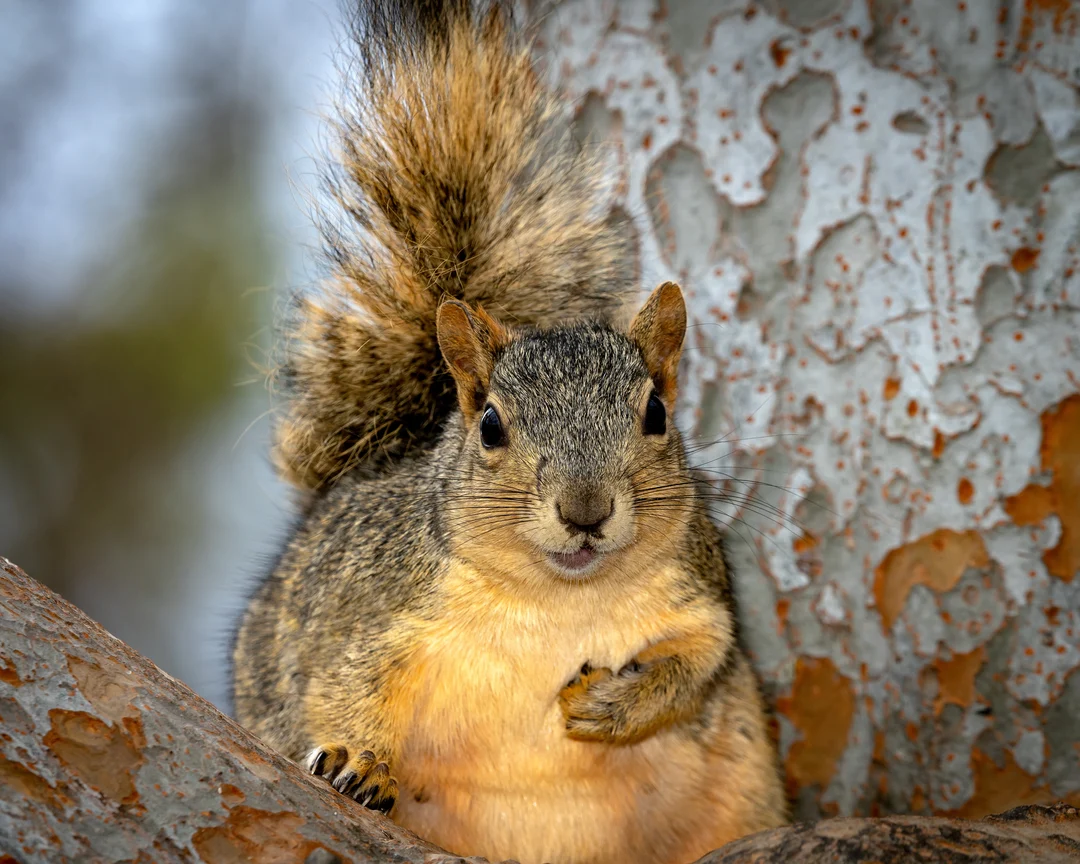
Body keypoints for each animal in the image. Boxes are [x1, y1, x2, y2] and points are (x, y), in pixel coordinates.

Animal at [230, 1, 789, 862]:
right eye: (491, 425)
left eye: (657, 415)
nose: (586, 512)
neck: (559, 601)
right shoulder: (375, 613)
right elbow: (339, 687)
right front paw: (358, 760)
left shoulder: (698, 599)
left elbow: (699, 664)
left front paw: (616, 705)